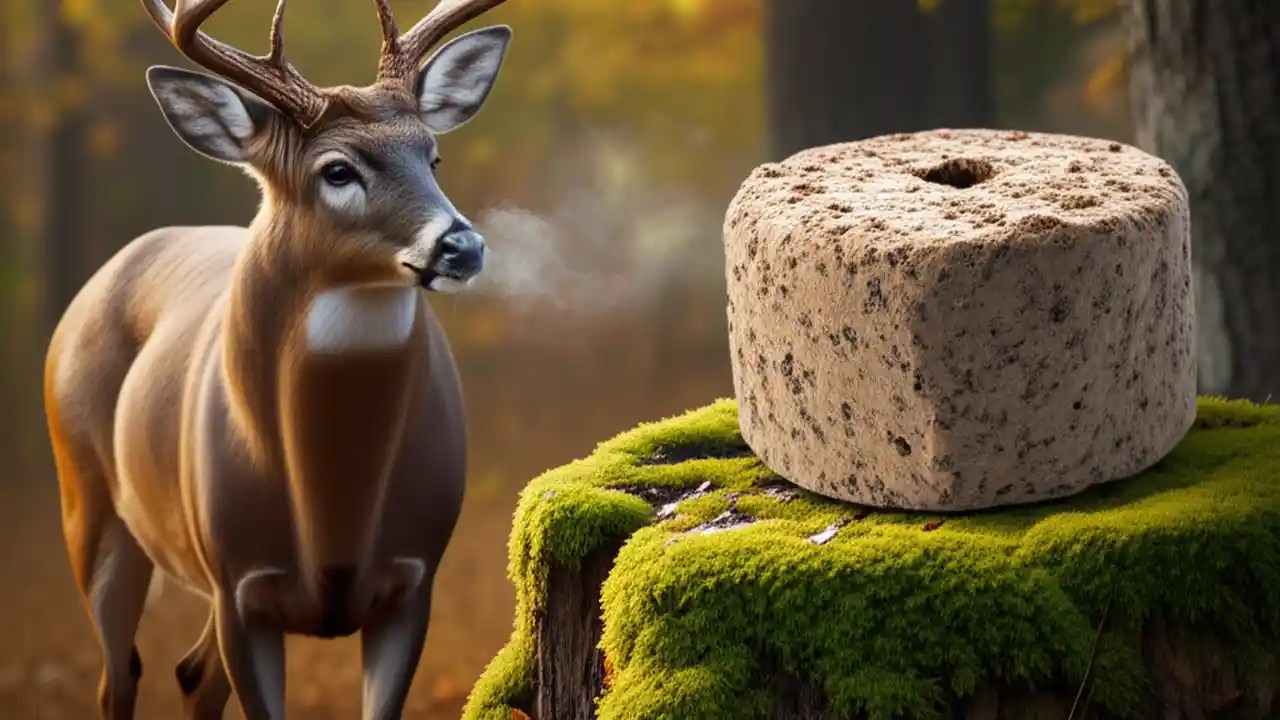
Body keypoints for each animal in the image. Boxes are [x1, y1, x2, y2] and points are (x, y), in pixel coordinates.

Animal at [42, 1, 511, 717]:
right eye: (338, 169)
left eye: (433, 156)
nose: (462, 246)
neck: (333, 509)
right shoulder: (238, 582)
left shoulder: (416, 577)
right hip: (87, 506)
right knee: (117, 676)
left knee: (191, 673)